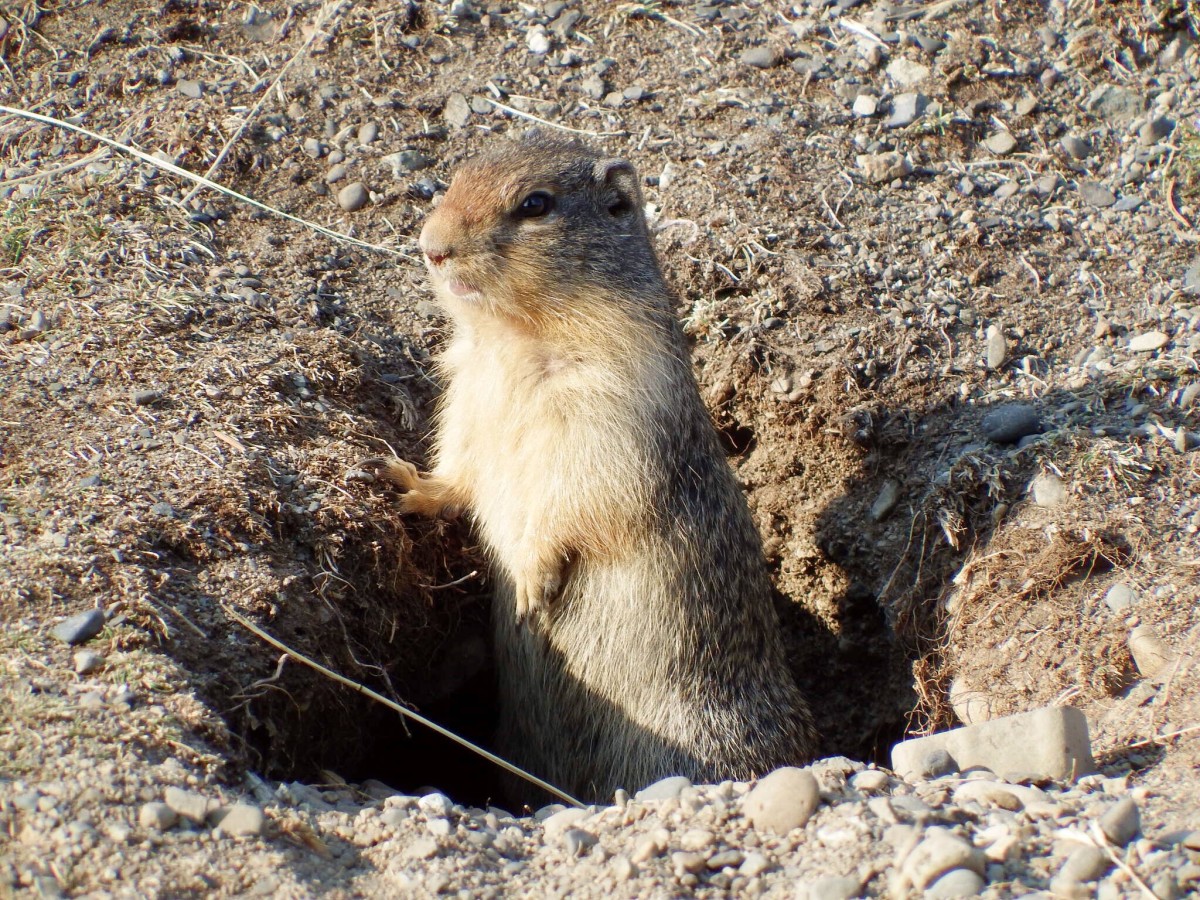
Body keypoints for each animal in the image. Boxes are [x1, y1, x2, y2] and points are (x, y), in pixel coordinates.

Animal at [371, 130, 817, 803]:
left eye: (535, 204)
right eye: (455, 178)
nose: (433, 247)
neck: (514, 338)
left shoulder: (614, 407)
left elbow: (583, 493)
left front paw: (531, 584)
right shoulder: (468, 391)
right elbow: (461, 464)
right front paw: (407, 484)